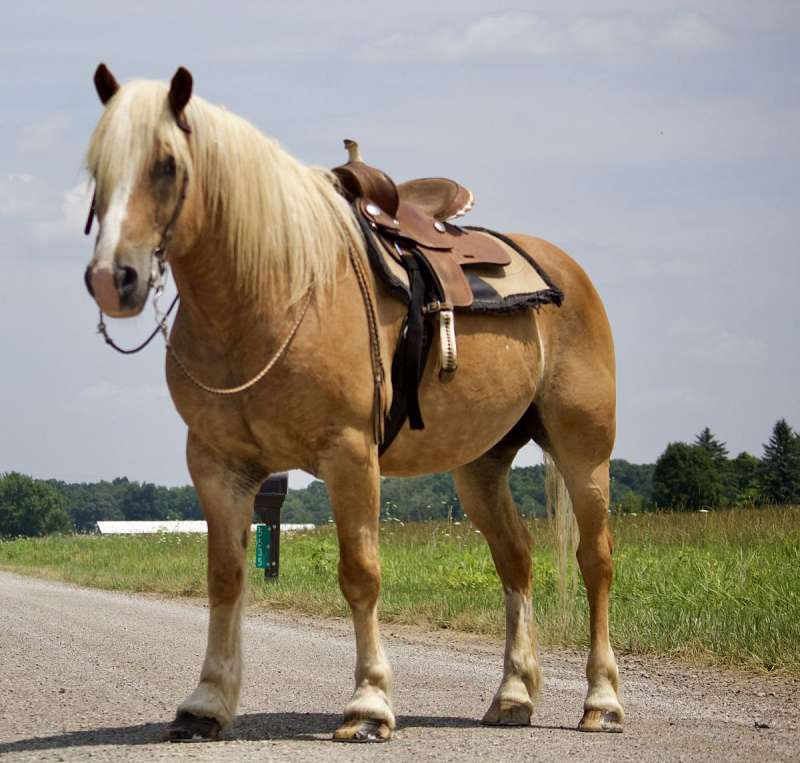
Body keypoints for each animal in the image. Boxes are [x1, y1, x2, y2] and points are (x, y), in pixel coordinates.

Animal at [82, 64, 623, 742]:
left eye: (166, 165)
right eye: (95, 167)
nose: (113, 278)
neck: (272, 293)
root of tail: (566, 271)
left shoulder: (349, 455)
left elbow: (361, 574)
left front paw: (368, 705)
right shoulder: (217, 464)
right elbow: (226, 578)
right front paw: (206, 703)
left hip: (584, 453)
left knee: (594, 562)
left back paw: (602, 701)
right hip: (480, 465)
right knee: (516, 561)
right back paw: (512, 696)